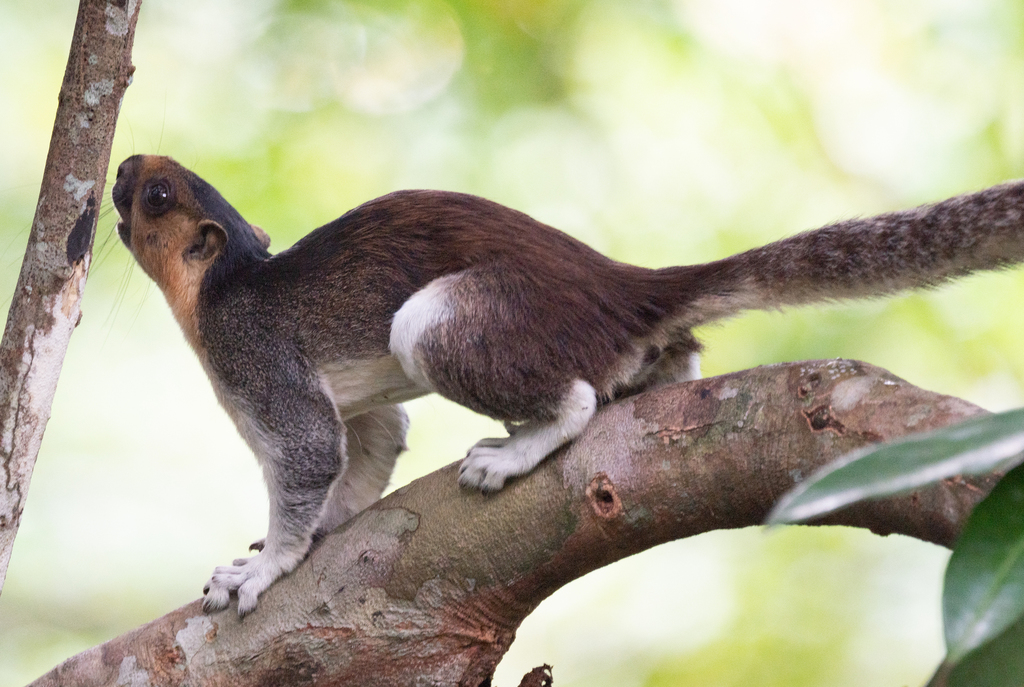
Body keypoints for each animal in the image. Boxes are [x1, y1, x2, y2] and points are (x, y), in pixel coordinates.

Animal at [112, 154, 1024, 616]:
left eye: (158, 192)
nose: (121, 161)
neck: (223, 281)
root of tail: (618, 286)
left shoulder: (259, 361)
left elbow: (307, 455)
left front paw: (264, 569)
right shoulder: (343, 404)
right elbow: (367, 451)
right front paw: (312, 534)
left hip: (461, 322)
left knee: (574, 396)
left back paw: (521, 449)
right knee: (673, 355)